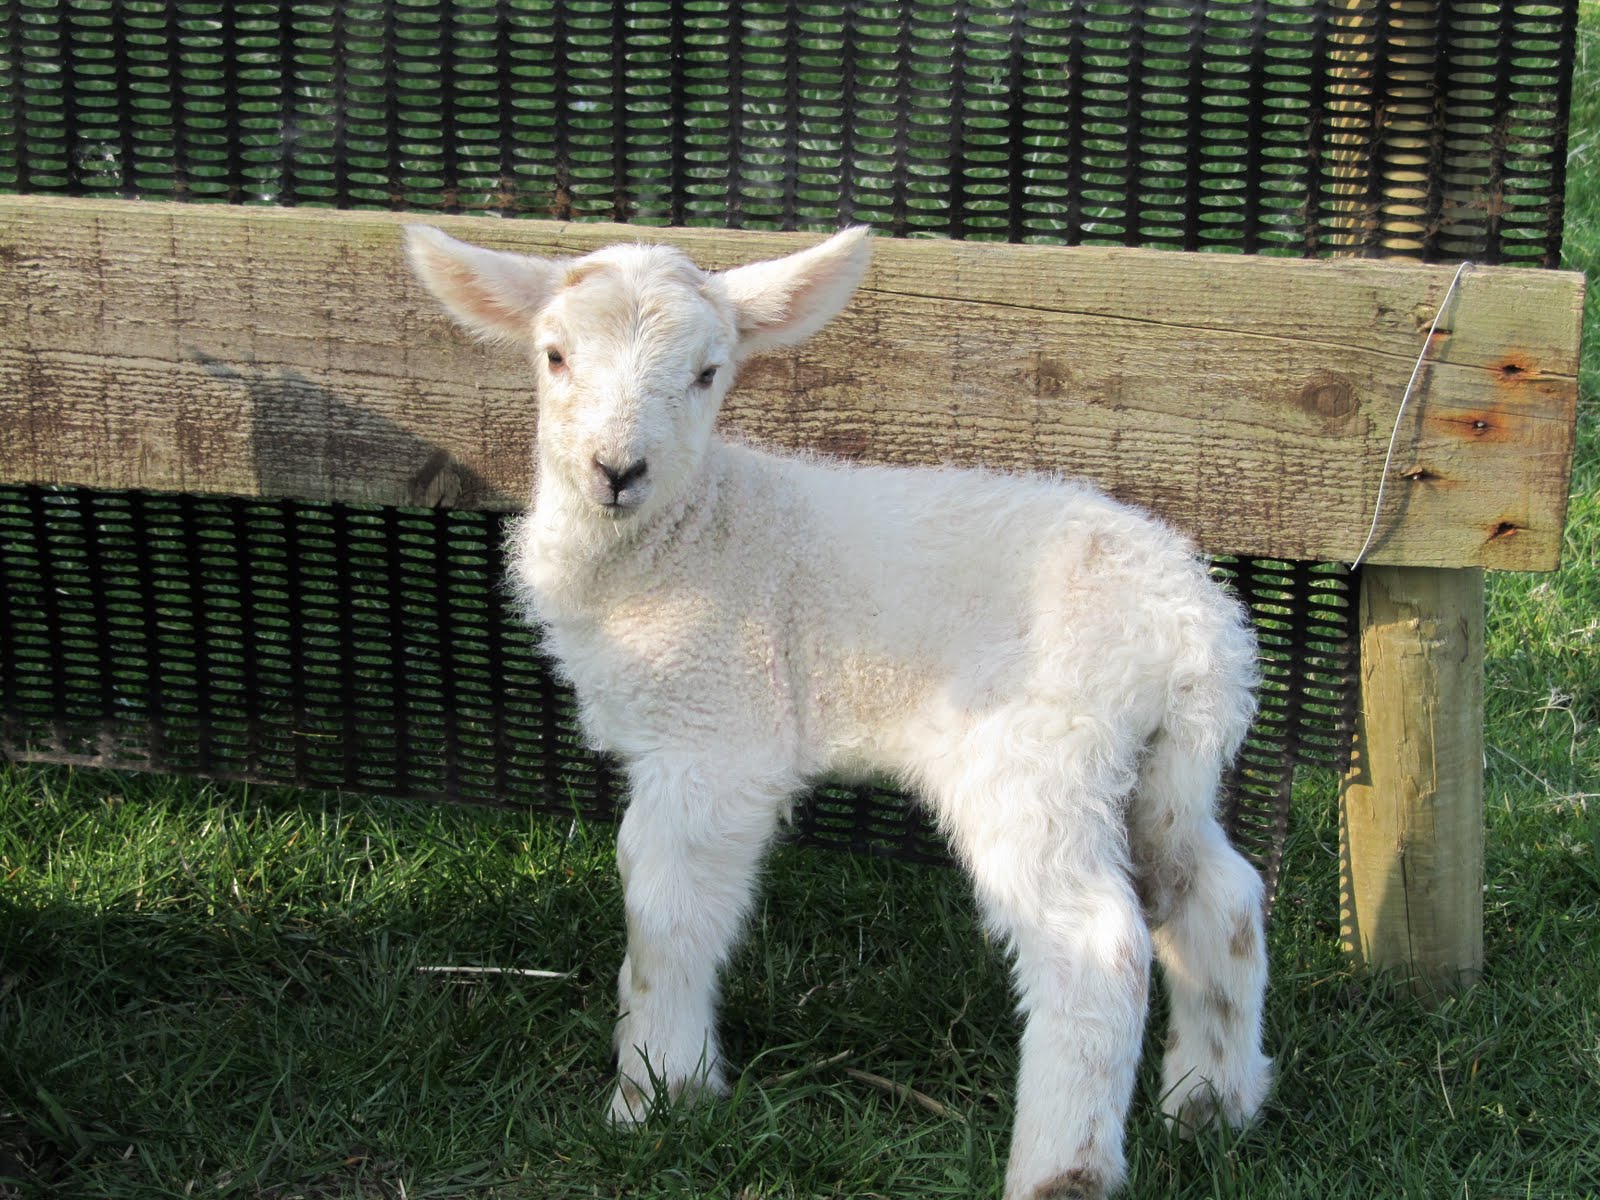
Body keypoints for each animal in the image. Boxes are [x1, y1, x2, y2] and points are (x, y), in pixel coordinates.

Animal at [403, 223, 1273, 1200]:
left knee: (1098, 945)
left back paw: (1062, 1168)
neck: (688, 533)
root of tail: (1196, 629)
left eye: (708, 372)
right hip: (1157, 767)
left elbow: (664, 916)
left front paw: (657, 1097)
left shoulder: (717, 736)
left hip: (1039, 755)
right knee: (1217, 896)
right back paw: (1213, 1106)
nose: (617, 470)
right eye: (554, 356)